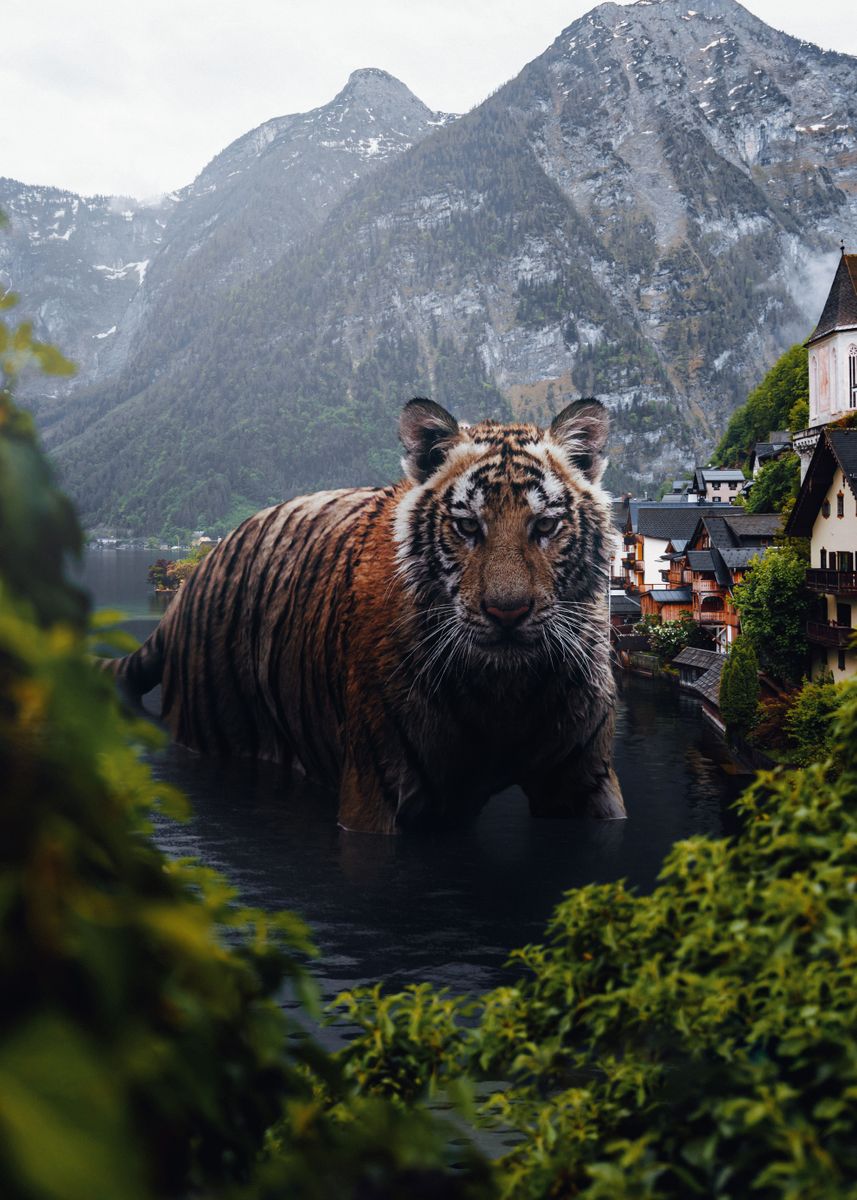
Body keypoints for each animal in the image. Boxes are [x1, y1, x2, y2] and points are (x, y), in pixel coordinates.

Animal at [107, 397, 624, 833]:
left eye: (545, 525)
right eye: (467, 526)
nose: (507, 612)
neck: (505, 692)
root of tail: (194, 579)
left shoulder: (587, 780)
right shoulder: (378, 788)